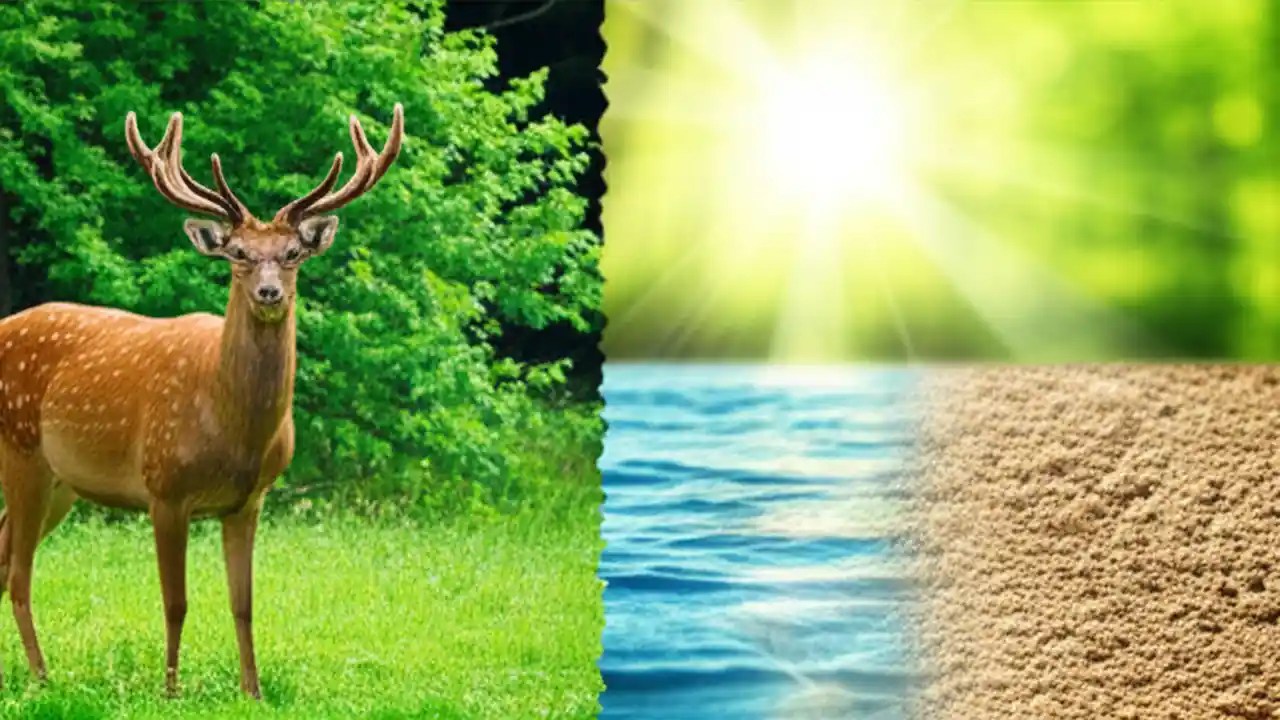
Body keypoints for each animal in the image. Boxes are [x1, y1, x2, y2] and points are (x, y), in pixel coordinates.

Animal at [0, 103, 403, 698]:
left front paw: (253, 691)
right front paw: (170, 690)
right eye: (237, 253)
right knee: (19, 573)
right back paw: (41, 678)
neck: (232, 427)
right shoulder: (164, 487)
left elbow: (244, 605)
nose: (268, 292)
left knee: (4, 552)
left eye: (292, 253)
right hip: (22, 450)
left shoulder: (249, 501)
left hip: (60, 483)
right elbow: (176, 602)